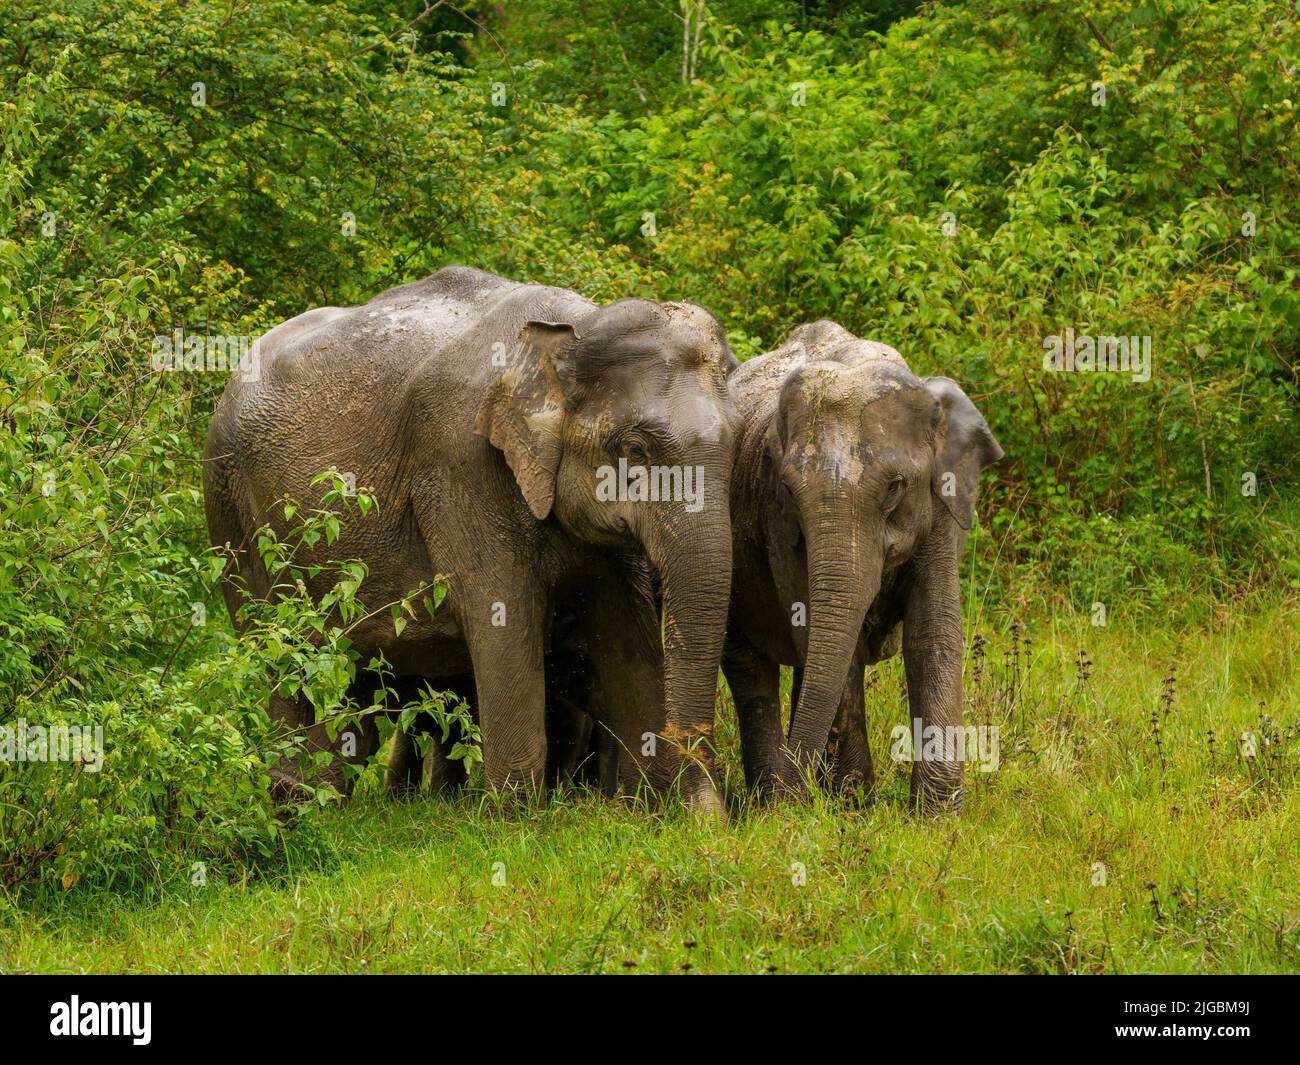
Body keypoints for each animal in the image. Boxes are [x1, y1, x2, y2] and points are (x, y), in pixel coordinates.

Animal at [203, 266, 737, 814]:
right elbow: (501, 616)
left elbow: (625, 635)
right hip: (228, 507)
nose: (712, 822)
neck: (573, 330)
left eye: (738, 441)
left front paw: (654, 814)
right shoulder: (459, 466)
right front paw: (515, 818)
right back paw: (294, 801)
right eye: (635, 449)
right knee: (275, 647)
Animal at [721, 320, 1003, 812]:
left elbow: (933, 631)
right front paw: (854, 808)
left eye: (894, 488)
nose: (800, 792)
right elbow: (822, 632)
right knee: (752, 671)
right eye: (789, 490)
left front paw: (936, 817)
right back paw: (774, 801)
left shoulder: (940, 510)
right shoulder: (778, 521)